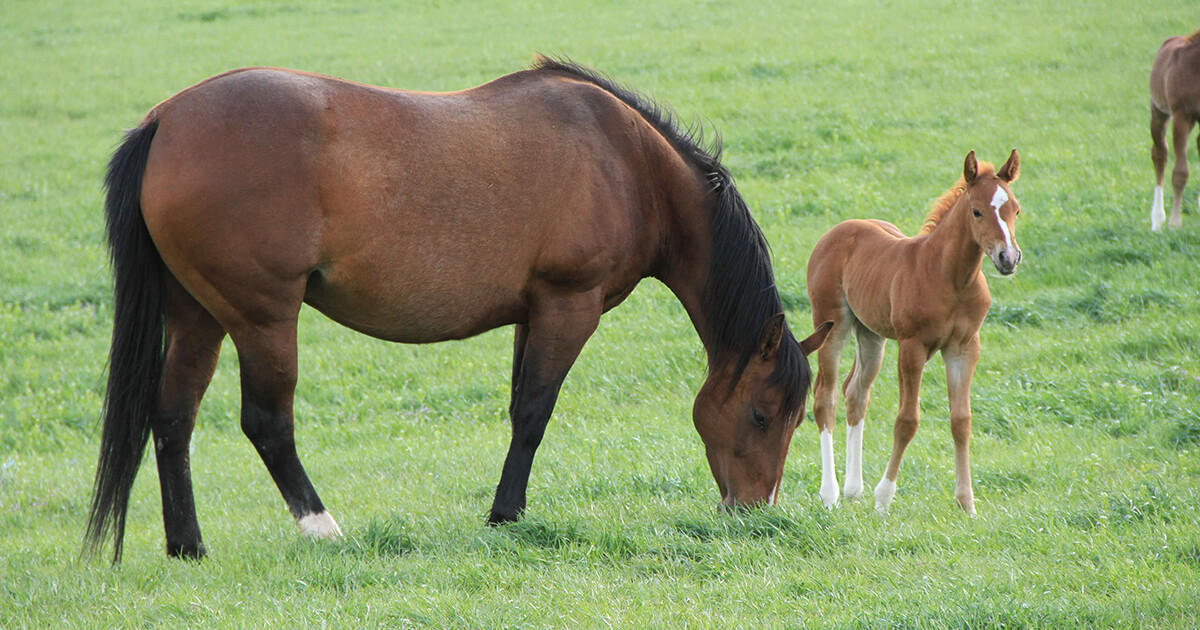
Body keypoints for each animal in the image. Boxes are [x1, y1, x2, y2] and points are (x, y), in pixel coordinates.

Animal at [83, 57, 832, 563]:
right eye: (763, 414)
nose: (753, 511)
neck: (628, 163)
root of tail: (165, 120)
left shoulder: (531, 314)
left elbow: (519, 409)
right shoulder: (569, 306)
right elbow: (534, 414)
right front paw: (505, 515)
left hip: (199, 316)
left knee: (171, 418)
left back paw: (188, 546)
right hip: (262, 318)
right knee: (267, 424)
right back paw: (322, 527)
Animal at [805, 150, 1021, 516]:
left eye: (1015, 209)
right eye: (977, 211)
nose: (1008, 258)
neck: (950, 277)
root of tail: (836, 231)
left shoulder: (964, 348)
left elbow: (961, 420)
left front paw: (966, 503)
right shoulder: (912, 347)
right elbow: (907, 420)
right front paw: (883, 499)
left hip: (870, 334)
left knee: (855, 393)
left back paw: (853, 489)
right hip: (832, 325)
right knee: (826, 396)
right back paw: (830, 493)